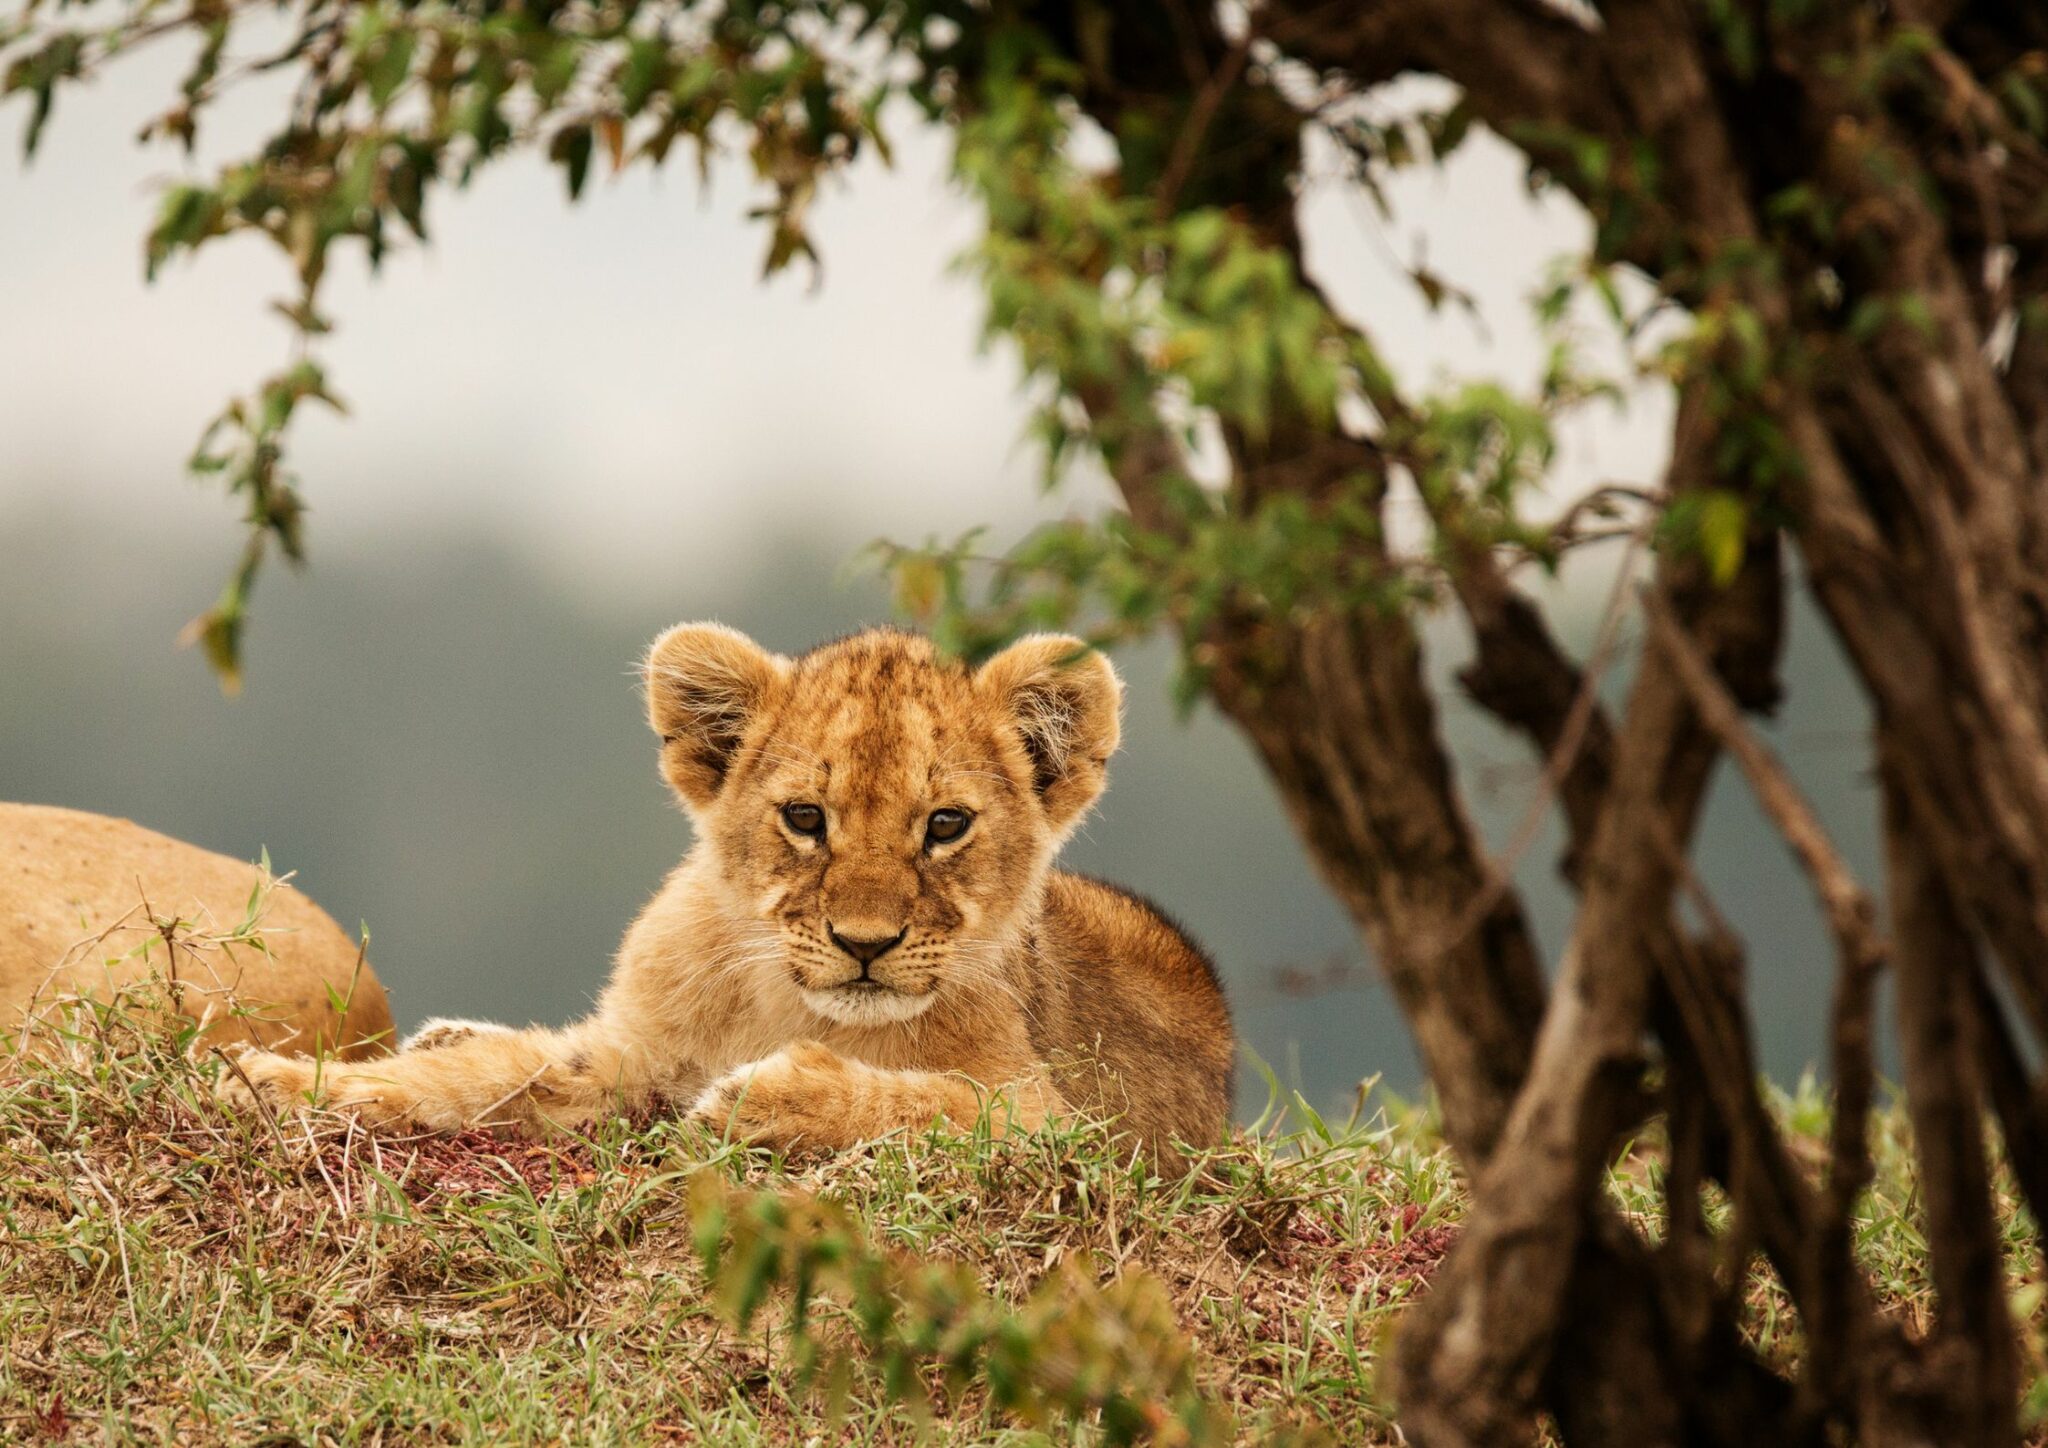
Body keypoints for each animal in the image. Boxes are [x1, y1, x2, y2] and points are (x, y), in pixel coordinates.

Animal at [224, 625, 1235, 1158]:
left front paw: (771, 1096)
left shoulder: (1070, 1127)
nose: (864, 943)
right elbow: (488, 1079)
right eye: (805, 818)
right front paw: (276, 1082)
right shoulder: (636, 1056)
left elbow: (933, 1102)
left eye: (946, 825)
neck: (790, 1006)